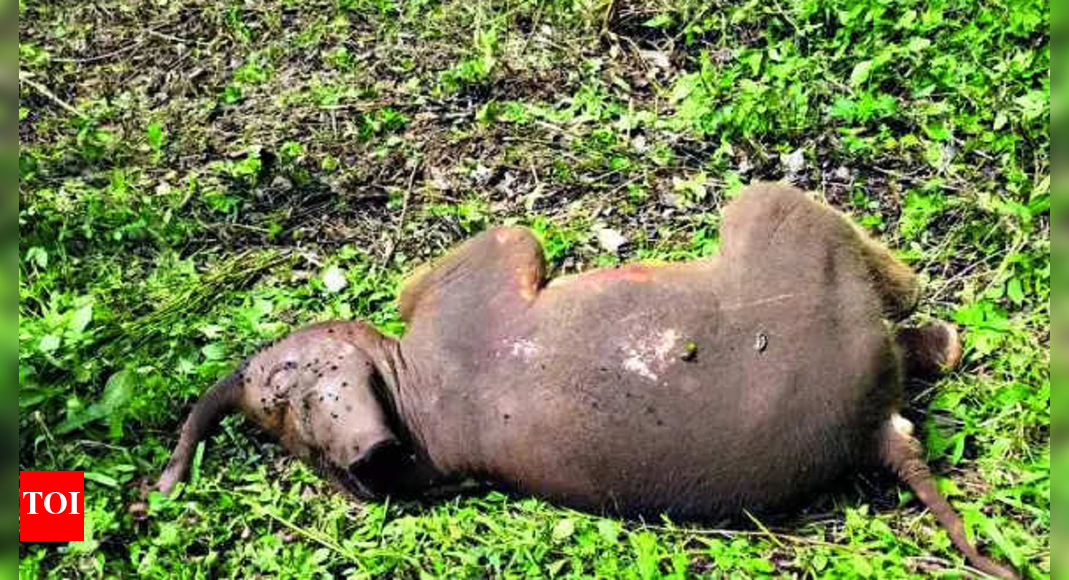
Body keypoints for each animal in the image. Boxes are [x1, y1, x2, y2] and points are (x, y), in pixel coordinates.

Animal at [157, 183, 1017, 579]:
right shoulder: (477, 275)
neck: (408, 402)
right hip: (786, 227)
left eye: (276, 383)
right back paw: (944, 336)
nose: (244, 365)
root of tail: (870, 432)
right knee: (893, 291)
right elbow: (502, 240)